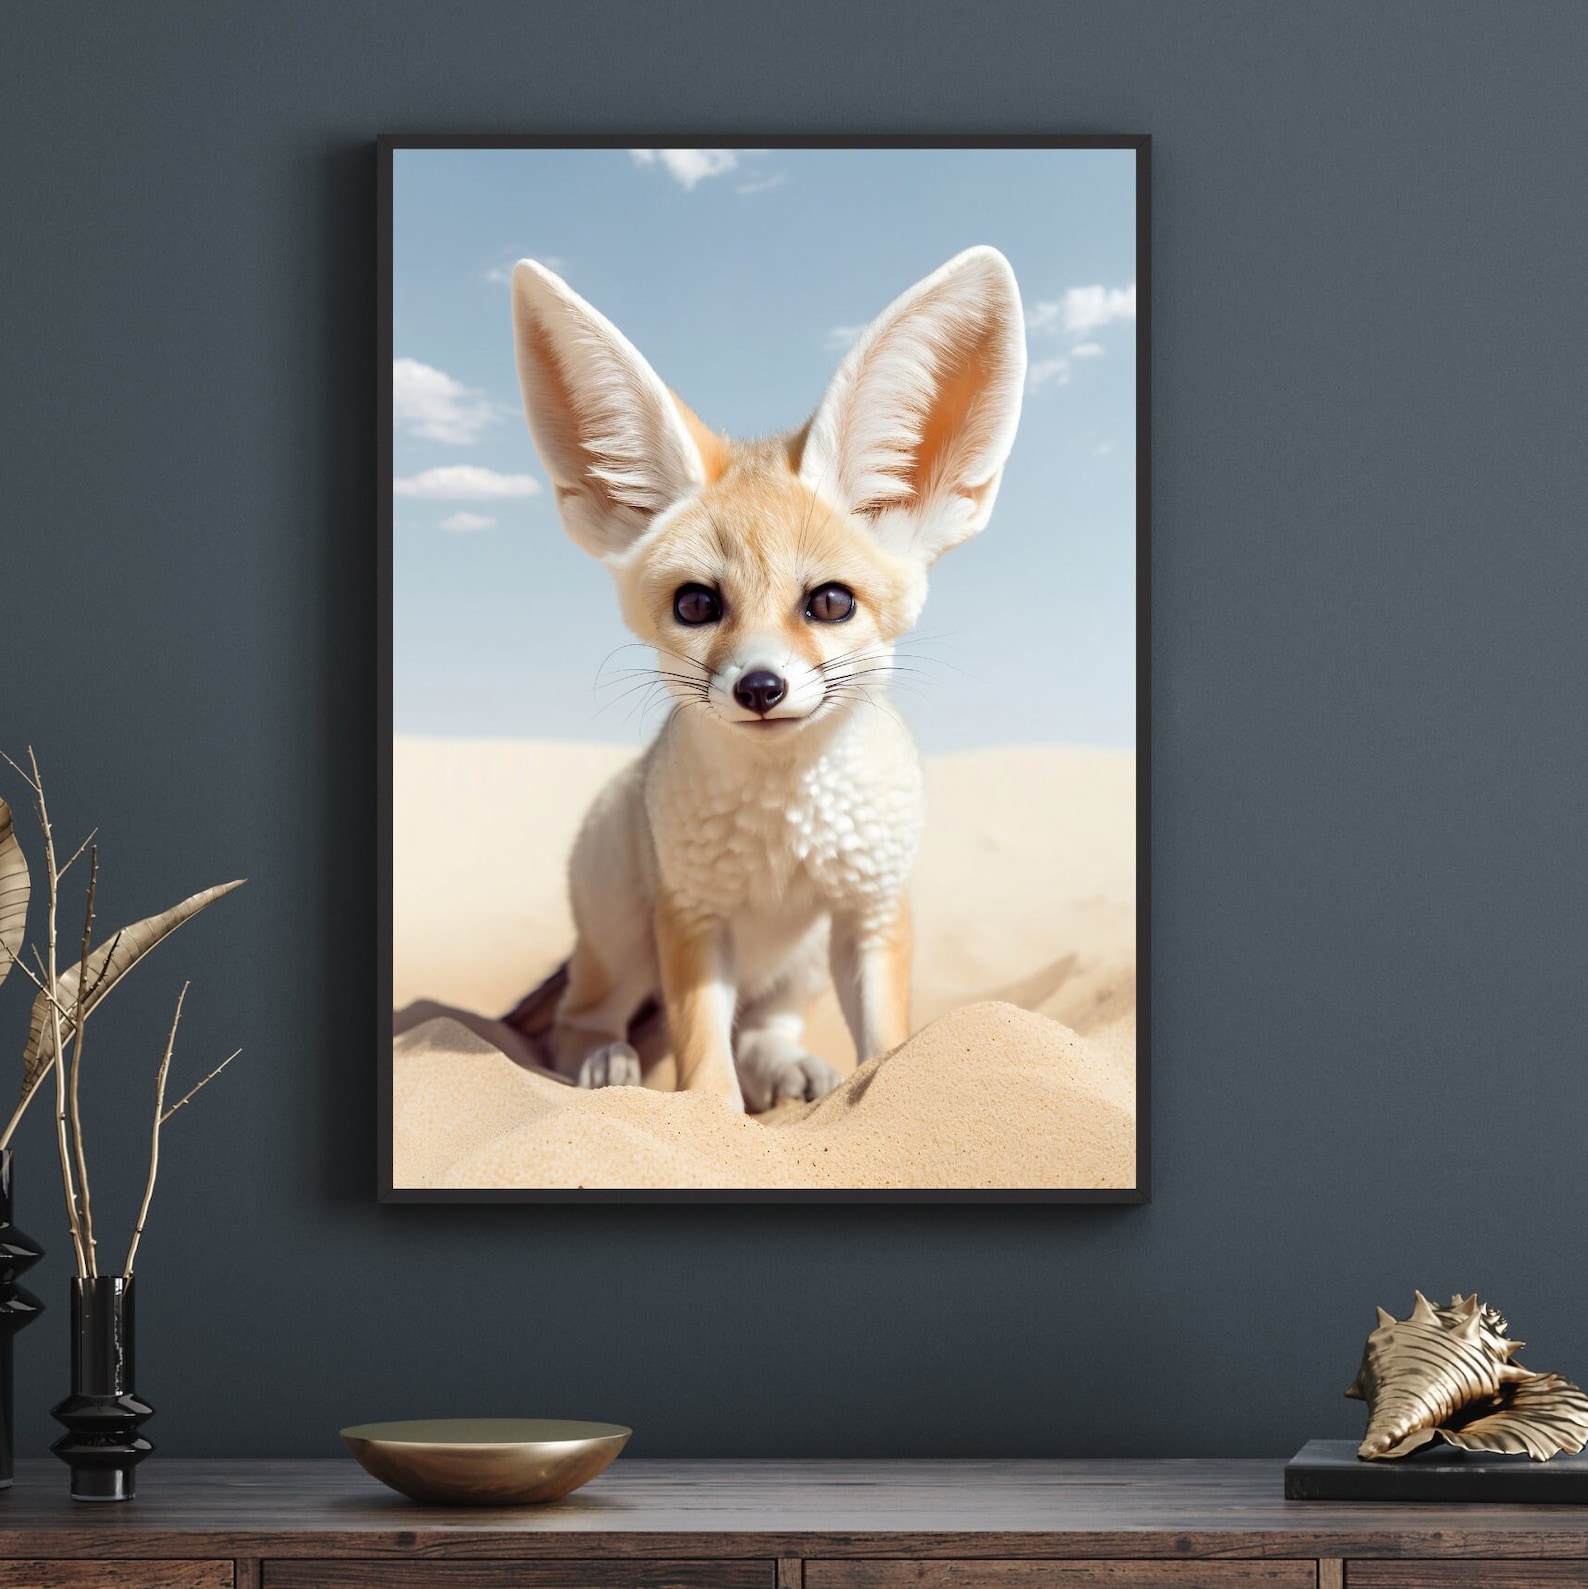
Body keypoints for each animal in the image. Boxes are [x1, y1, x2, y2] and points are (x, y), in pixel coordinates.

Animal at [503, 245, 1026, 1112]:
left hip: (799, 962)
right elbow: (703, 1067)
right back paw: (604, 1059)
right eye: (696, 604)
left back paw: (787, 1065)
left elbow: (887, 1047)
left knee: (761, 1029)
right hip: (624, 926)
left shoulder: (872, 907)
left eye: (830, 602)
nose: (759, 688)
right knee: (579, 1016)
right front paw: (707, 1123)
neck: (783, 830)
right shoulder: (690, 914)